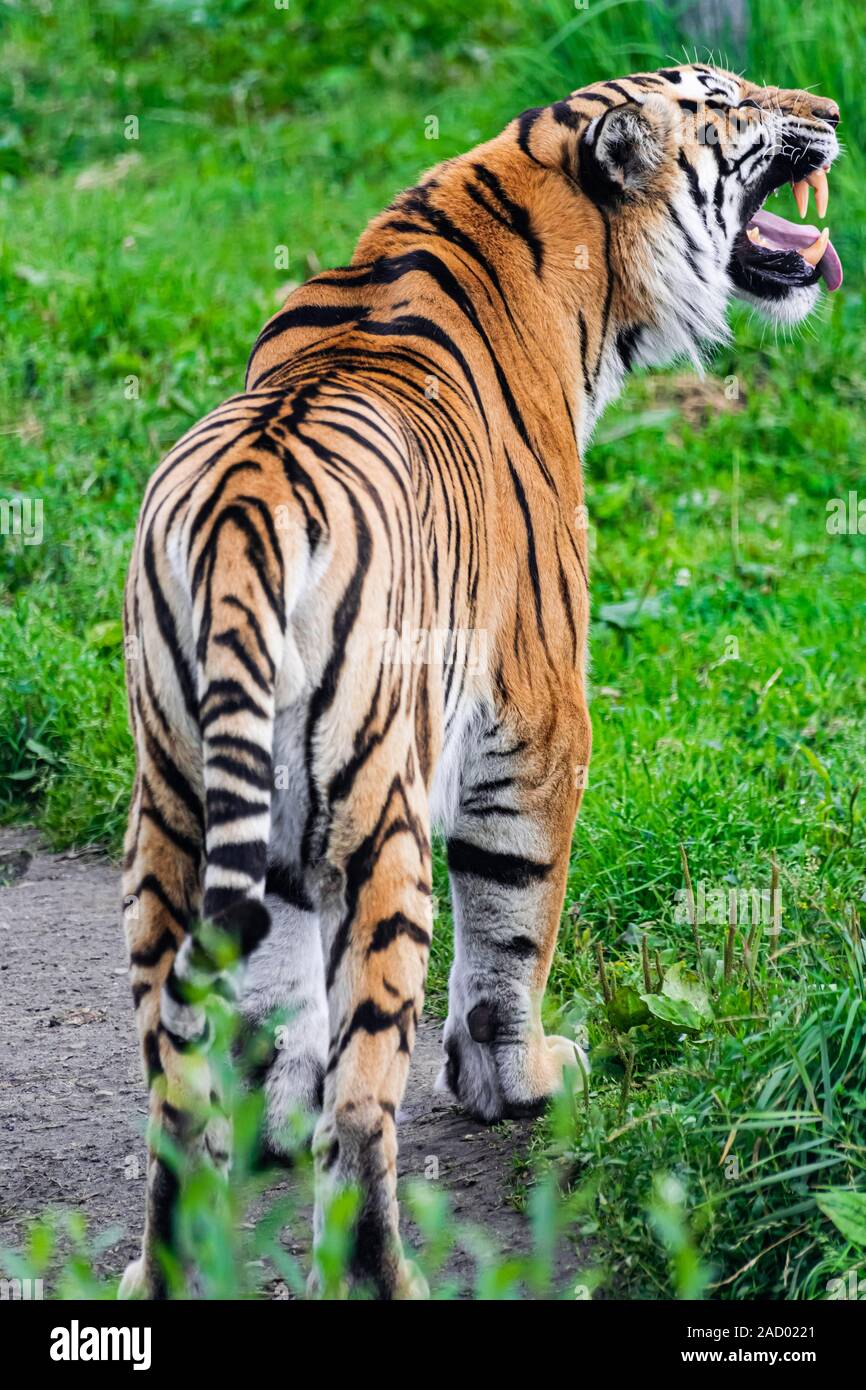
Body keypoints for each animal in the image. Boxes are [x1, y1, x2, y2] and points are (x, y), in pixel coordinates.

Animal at [119, 63, 841, 1299]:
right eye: (729, 100)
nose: (832, 114)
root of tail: (246, 510)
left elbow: (275, 994)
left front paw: (273, 1108)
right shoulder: (537, 713)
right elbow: (513, 919)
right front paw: (522, 1077)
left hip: (168, 806)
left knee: (176, 1077)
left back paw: (165, 1268)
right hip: (379, 815)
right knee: (367, 1102)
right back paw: (381, 1272)